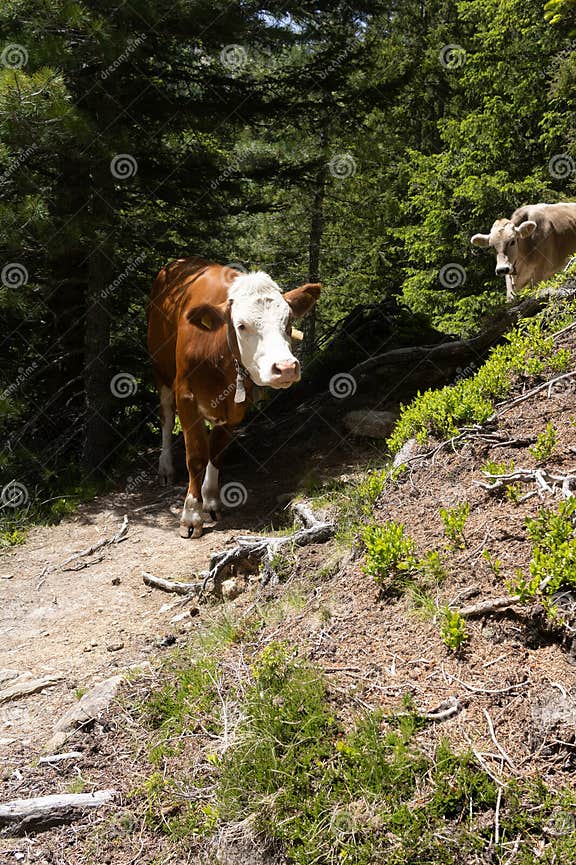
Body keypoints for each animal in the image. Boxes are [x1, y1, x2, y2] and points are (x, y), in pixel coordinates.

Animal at [147, 257, 321, 538]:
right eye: (241, 325)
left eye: (288, 322)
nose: (286, 367)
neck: (218, 353)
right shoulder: (186, 396)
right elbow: (196, 456)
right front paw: (191, 515)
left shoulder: (238, 406)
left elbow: (215, 451)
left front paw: (210, 500)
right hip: (160, 369)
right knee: (165, 417)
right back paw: (166, 468)